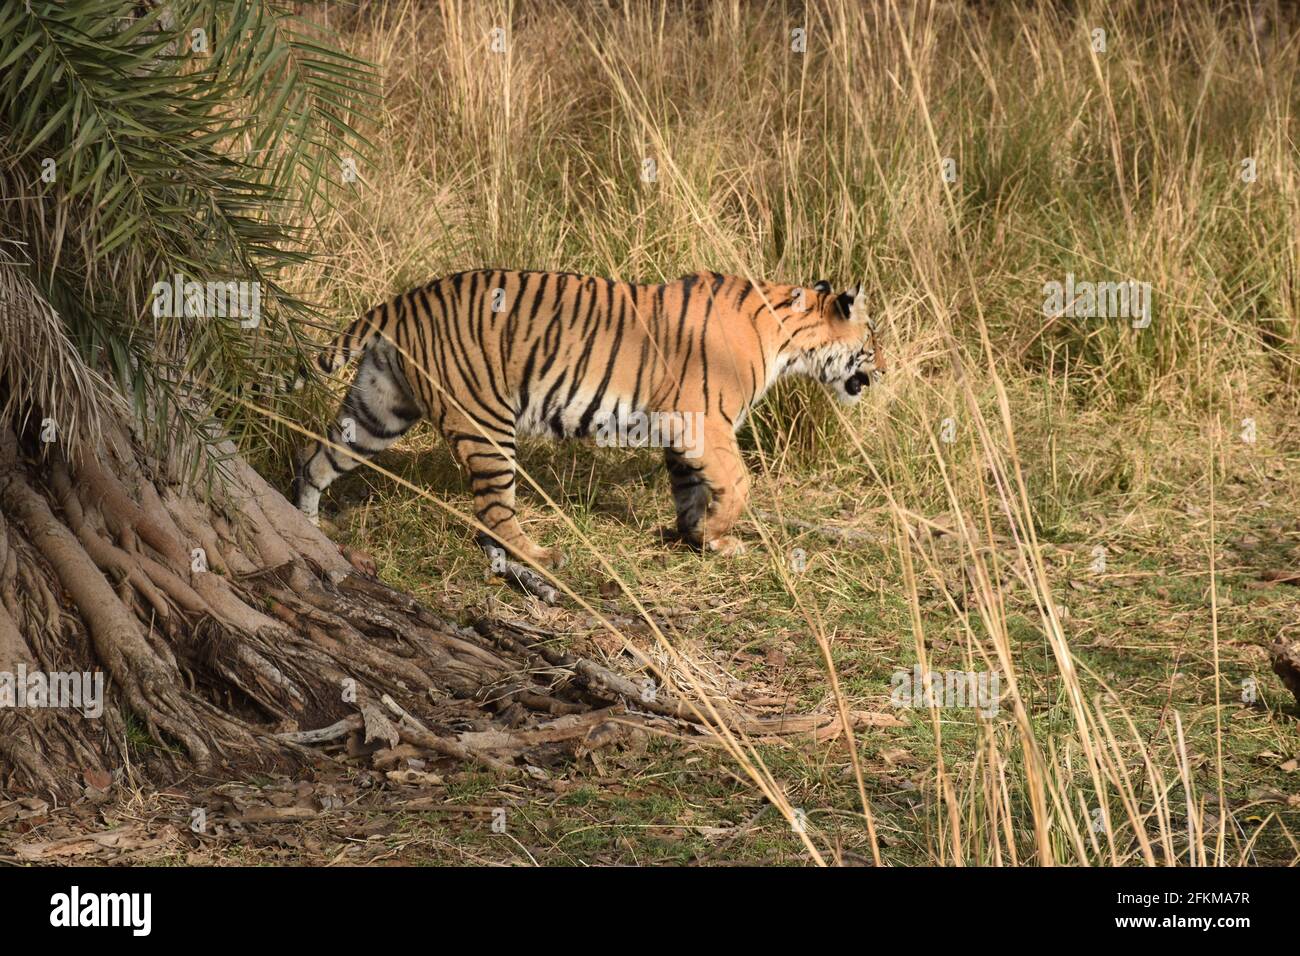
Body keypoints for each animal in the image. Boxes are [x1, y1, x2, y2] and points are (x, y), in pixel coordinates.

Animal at [291, 270, 884, 569]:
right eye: (873, 338)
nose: (884, 366)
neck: (790, 340)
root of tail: (402, 301)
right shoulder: (702, 419)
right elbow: (738, 483)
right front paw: (719, 535)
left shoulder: (682, 430)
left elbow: (690, 488)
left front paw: (697, 537)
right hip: (484, 422)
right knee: (493, 509)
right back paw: (539, 555)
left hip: (379, 411)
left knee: (315, 458)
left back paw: (309, 523)